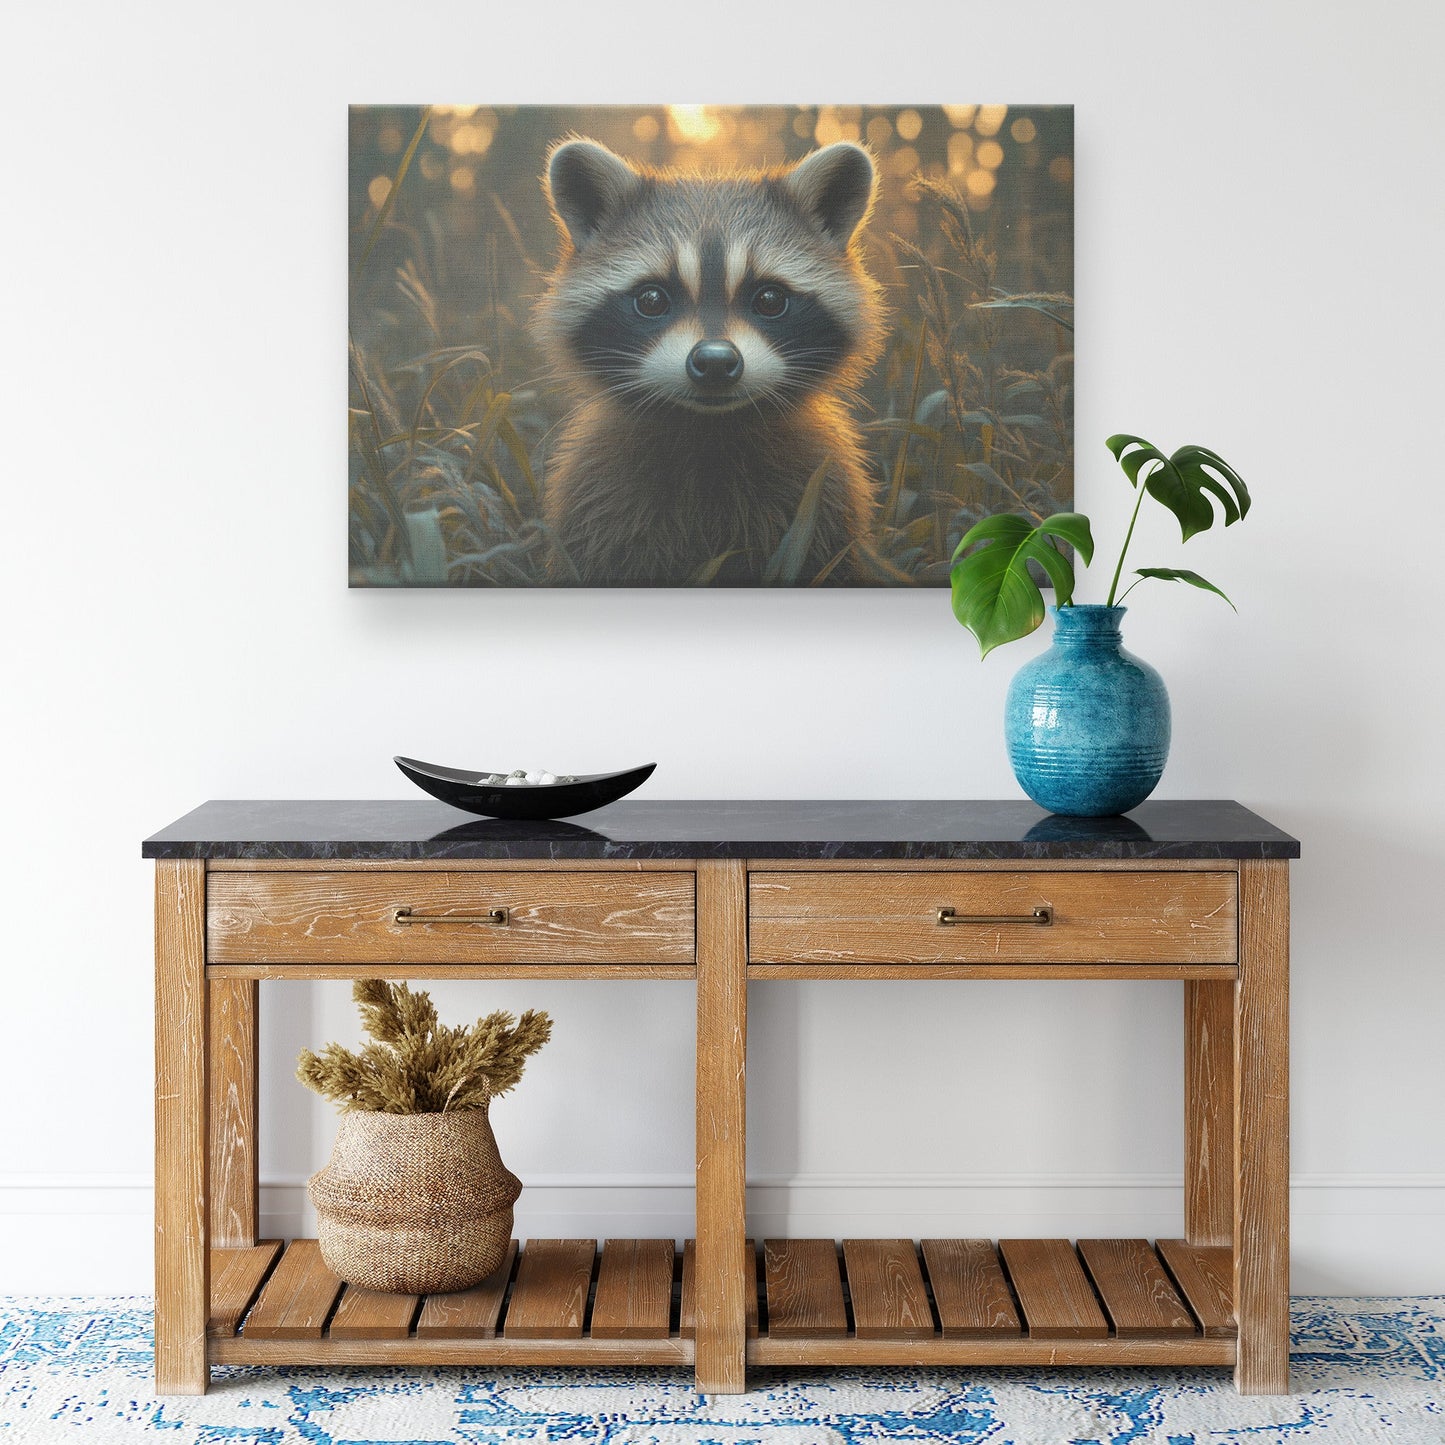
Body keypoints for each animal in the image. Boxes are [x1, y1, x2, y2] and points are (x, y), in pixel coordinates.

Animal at [533, 138, 885, 585]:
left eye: (770, 299)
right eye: (652, 299)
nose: (715, 361)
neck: (710, 431)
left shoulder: (825, 496)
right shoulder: (596, 504)